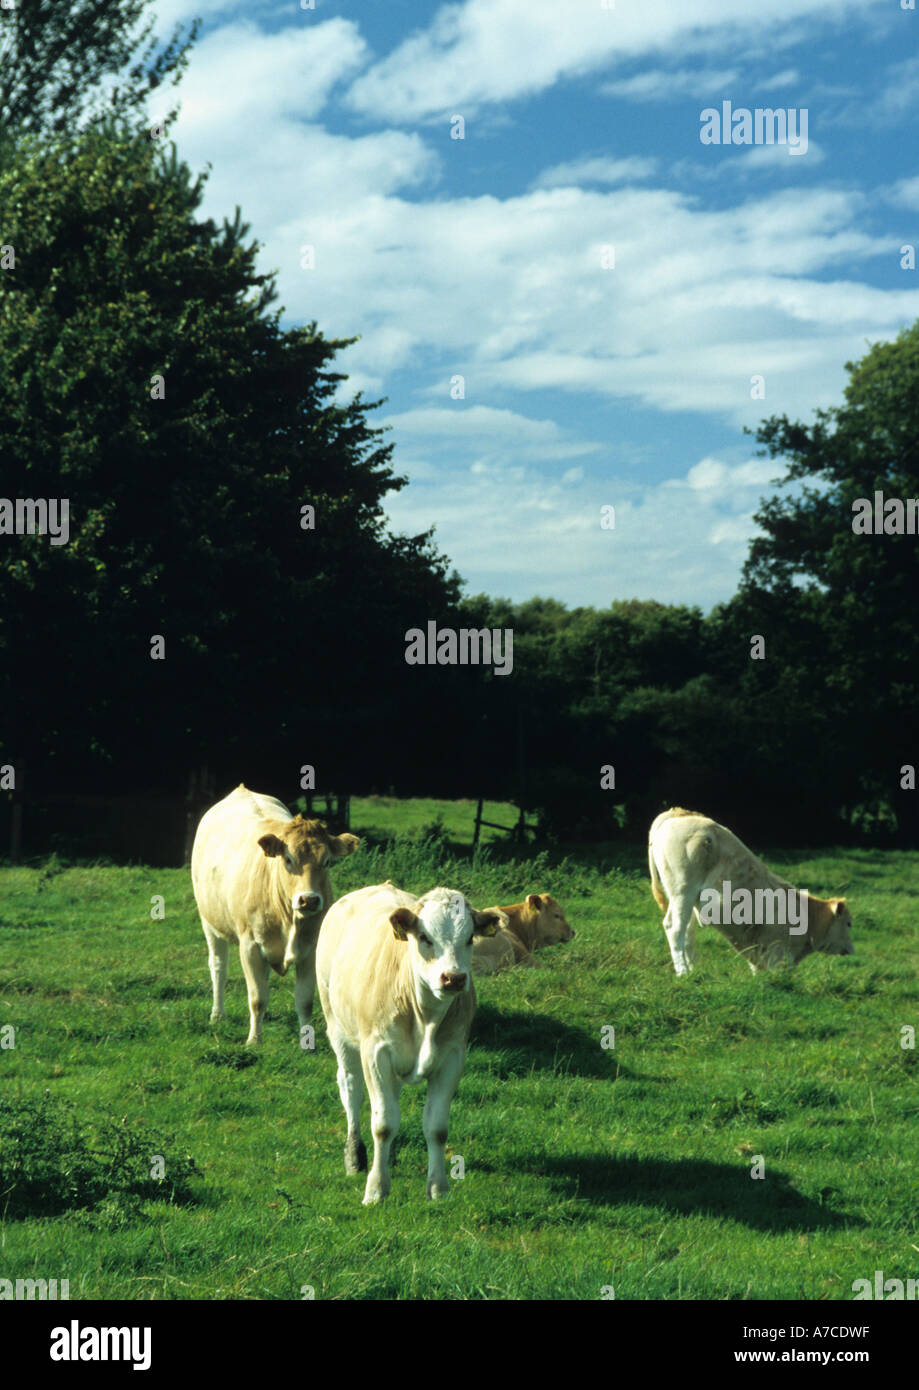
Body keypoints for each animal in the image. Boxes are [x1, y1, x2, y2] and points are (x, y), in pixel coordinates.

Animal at [191, 784, 360, 1044]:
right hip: (209, 922)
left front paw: (306, 1042)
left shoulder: (311, 949)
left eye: (327, 862)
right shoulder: (249, 946)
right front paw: (254, 1040)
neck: (289, 921)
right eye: (288, 860)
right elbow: (257, 998)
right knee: (218, 967)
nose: (309, 899)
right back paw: (217, 1015)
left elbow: (304, 1000)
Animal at [316, 882, 507, 1204]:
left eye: (470, 937)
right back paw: (355, 1155)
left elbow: (436, 1127)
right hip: (338, 1028)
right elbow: (382, 1124)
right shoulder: (375, 1053)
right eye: (425, 937)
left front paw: (439, 1188)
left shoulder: (452, 1057)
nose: (454, 978)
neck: (425, 1016)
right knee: (351, 1088)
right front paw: (376, 1189)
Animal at [648, 807, 854, 975]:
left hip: (685, 897)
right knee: (674, 927)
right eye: (849, 923)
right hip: (683, 891)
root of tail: (678, 813)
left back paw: (694, 970)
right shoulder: (777, 951)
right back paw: (683, 972)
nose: (852, 950)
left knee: (687, 932)